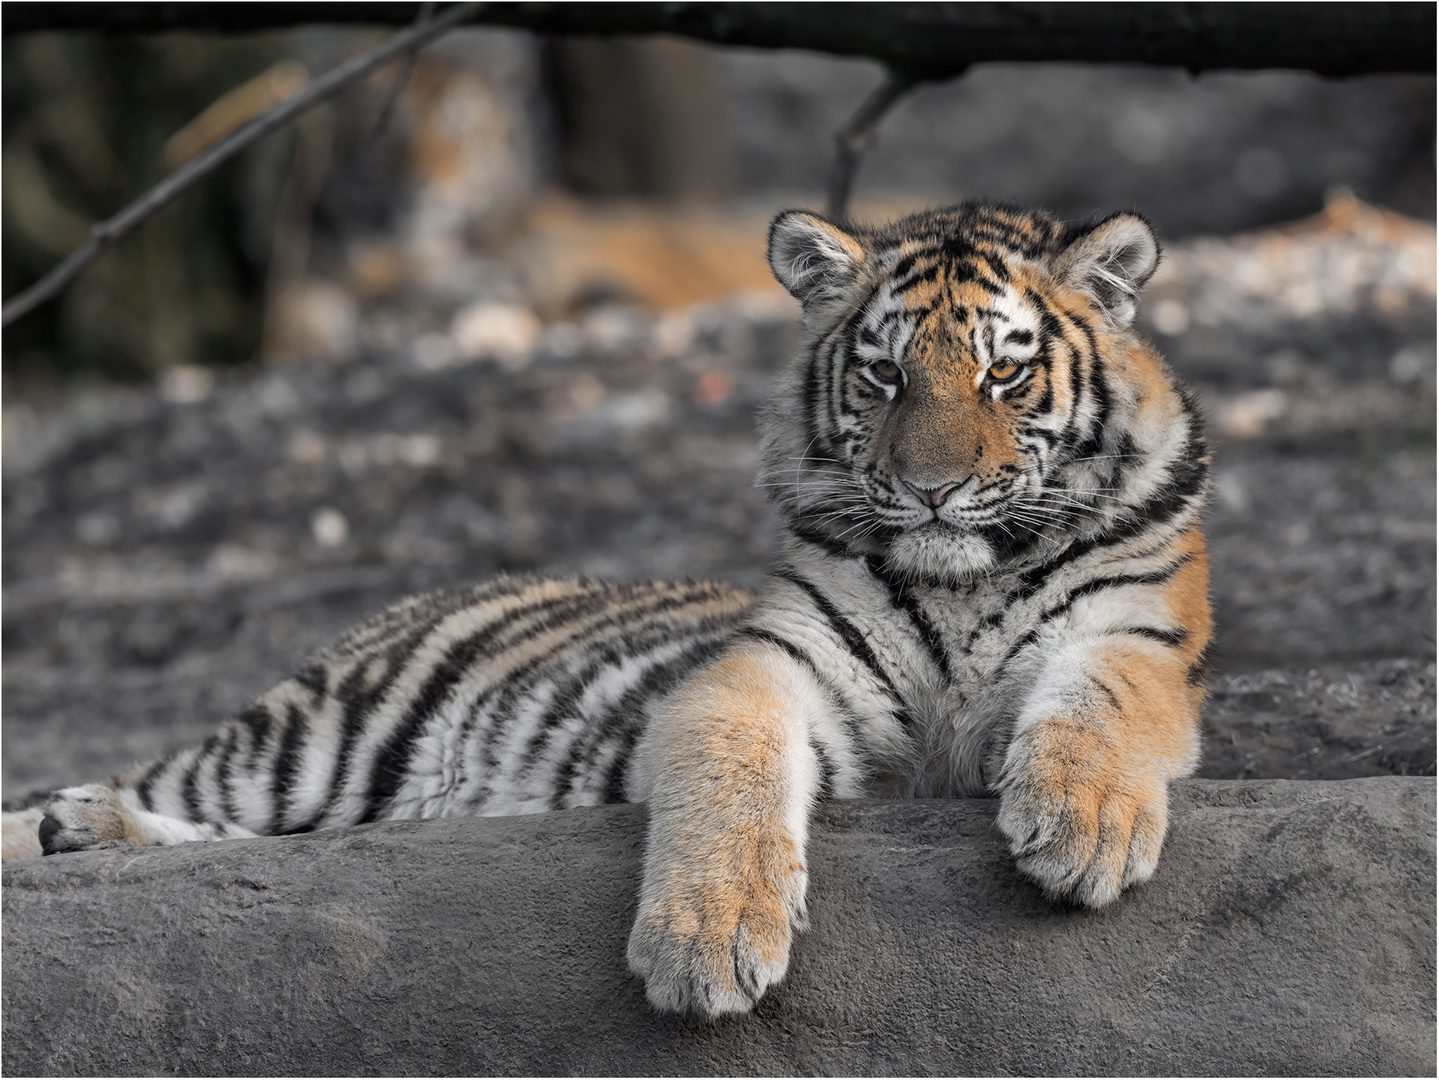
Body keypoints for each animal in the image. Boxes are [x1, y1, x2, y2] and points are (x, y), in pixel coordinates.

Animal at [2, 200, 1211, 1020]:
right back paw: (70, 825)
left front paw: (1083, 835)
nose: (928, 489)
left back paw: (81, 829)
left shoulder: (1136, 635)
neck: (960, 576)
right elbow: (728, 770)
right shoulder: (770, 663)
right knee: (166, 792)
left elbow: (1100, 704)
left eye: (1004, 376)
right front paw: (705, 940)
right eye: (882, 376)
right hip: (317, 748)